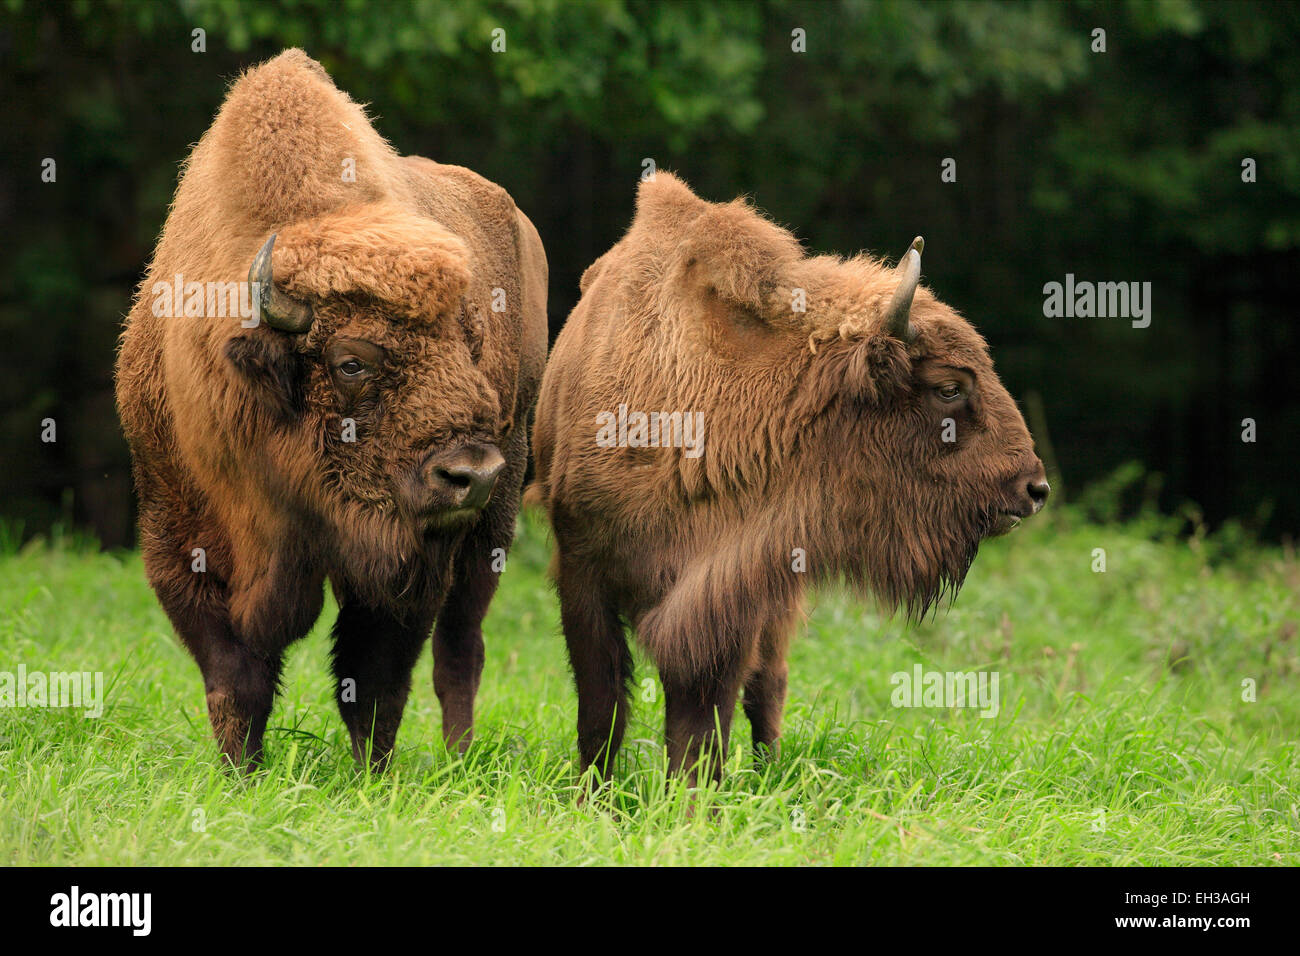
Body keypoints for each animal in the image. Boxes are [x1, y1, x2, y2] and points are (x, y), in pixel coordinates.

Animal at [115, 50, 547, 769]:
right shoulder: (178, 539)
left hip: (496, 515)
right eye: (352, 362)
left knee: (461, 648)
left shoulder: (412, 556)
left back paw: (460, 758)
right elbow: (235, 676)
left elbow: (373, 676)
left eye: (468, 344)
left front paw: (374, 774)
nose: (469, 472)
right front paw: (240, 773)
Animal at [528, 172, 1048, 784]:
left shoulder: (733, 590)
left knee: (768, 685)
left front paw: (694, 792)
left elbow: (706, 715)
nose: (1033, 488)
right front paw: (597, 791)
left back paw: (769, 771)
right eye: (948, 387)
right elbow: (602, 703)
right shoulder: (583, 574)